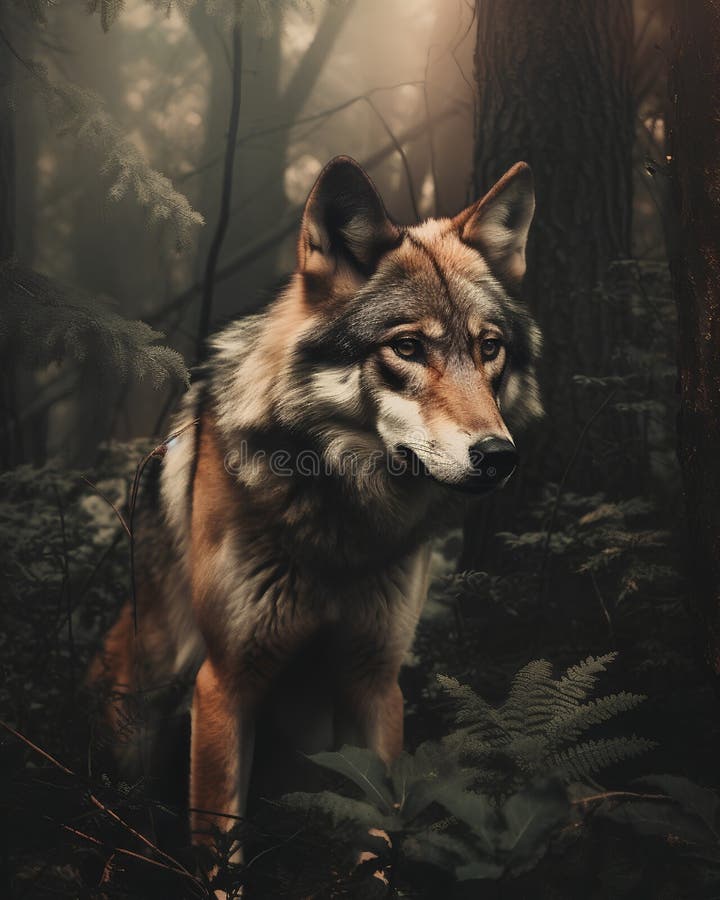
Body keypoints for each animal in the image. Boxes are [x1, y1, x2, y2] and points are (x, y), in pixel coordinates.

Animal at [89, 156, 542, 861]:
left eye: (488, 347)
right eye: (407, 348)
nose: (498, 455)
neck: (340, 525)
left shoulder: (376, 681)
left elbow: (379, 835)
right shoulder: (226, 682)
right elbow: (220, 856)